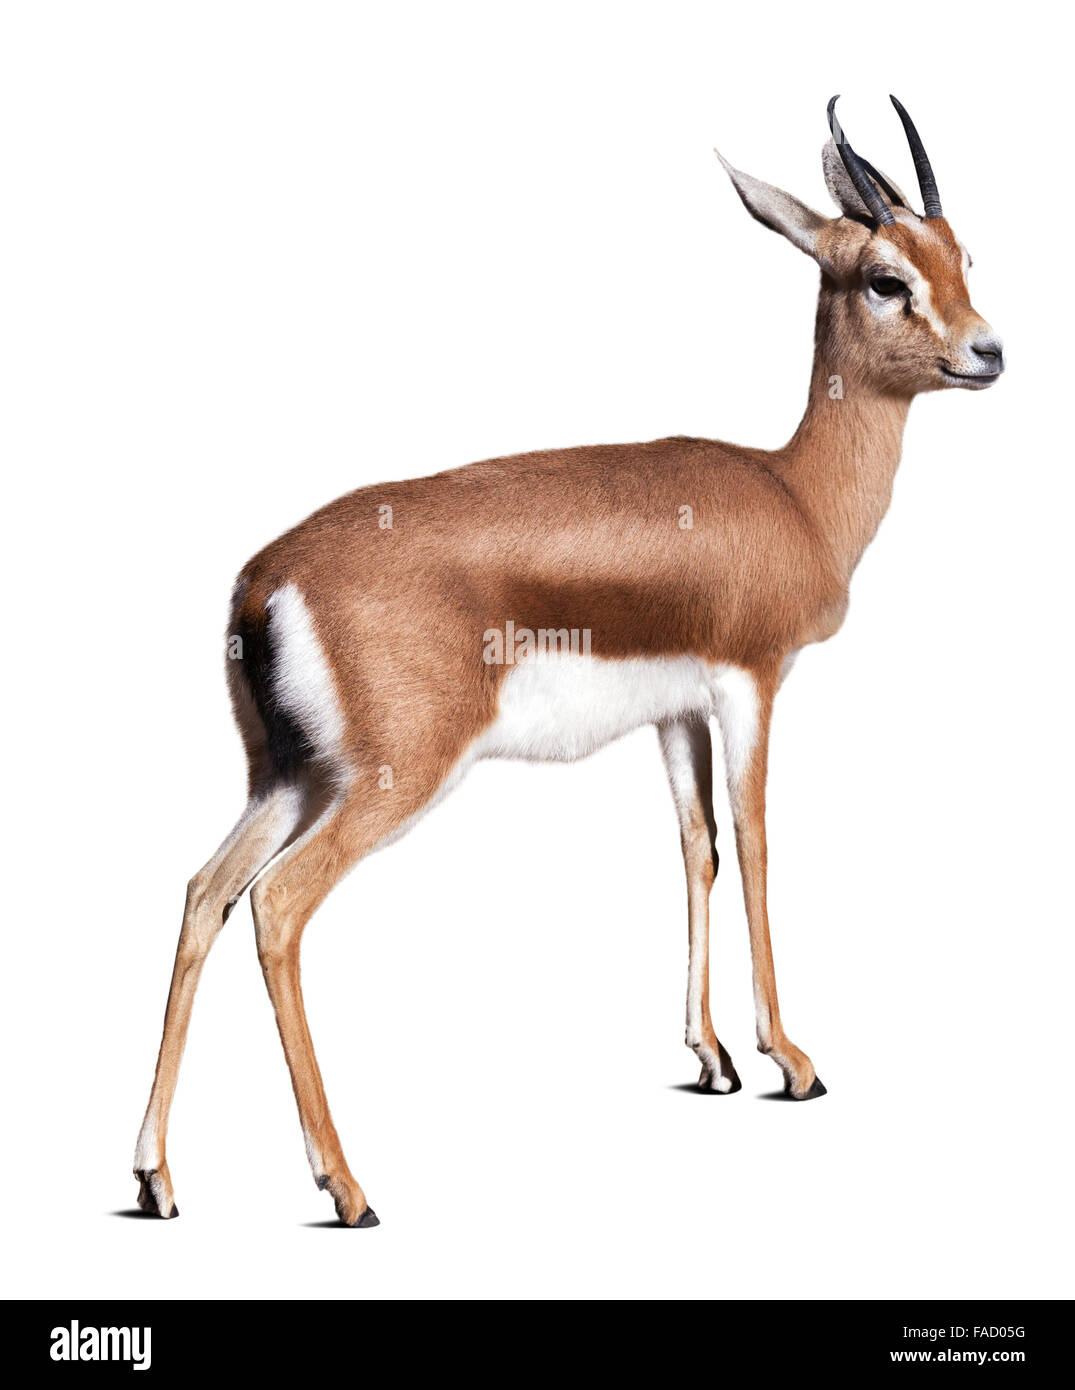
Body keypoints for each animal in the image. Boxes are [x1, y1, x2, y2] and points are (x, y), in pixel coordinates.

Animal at [134, 96, 1003, 1226]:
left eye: (962, 255)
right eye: (885, 278)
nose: (989, 351)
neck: (794, 495)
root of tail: (266, 580)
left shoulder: (675, 709)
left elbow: (695, 847)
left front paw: (712, 1058)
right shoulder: (751, 683)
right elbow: (757, 844)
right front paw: (792, 1059)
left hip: (289, 776)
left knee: (204, 892)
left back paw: (155, 1177)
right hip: (388, 779)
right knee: (275, 906)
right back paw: (348, 1186)